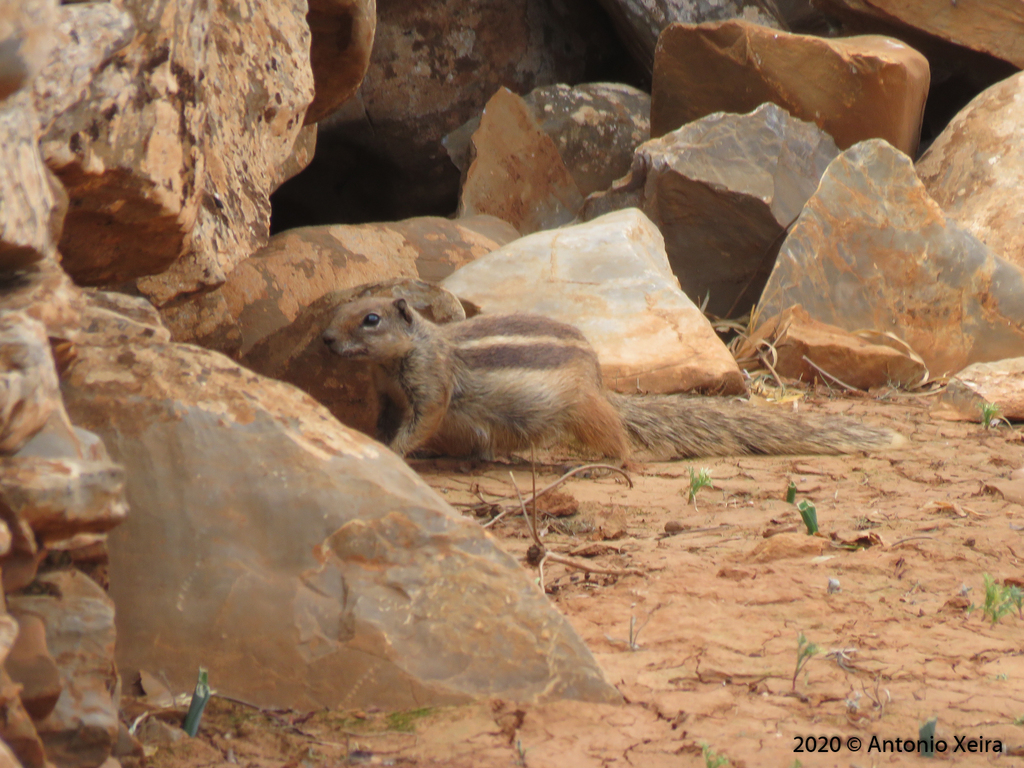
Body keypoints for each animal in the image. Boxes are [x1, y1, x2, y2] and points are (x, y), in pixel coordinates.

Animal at [322, 297, 907, 460]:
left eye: (370, 319)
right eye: (341, 309)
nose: (324, 339)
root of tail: (600, 381)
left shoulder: (431, 386)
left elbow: (423, 422)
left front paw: (398, 453)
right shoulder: (389, 394)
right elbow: (388, 419)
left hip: (581, 409)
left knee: (616, 437)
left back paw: (613, 462)